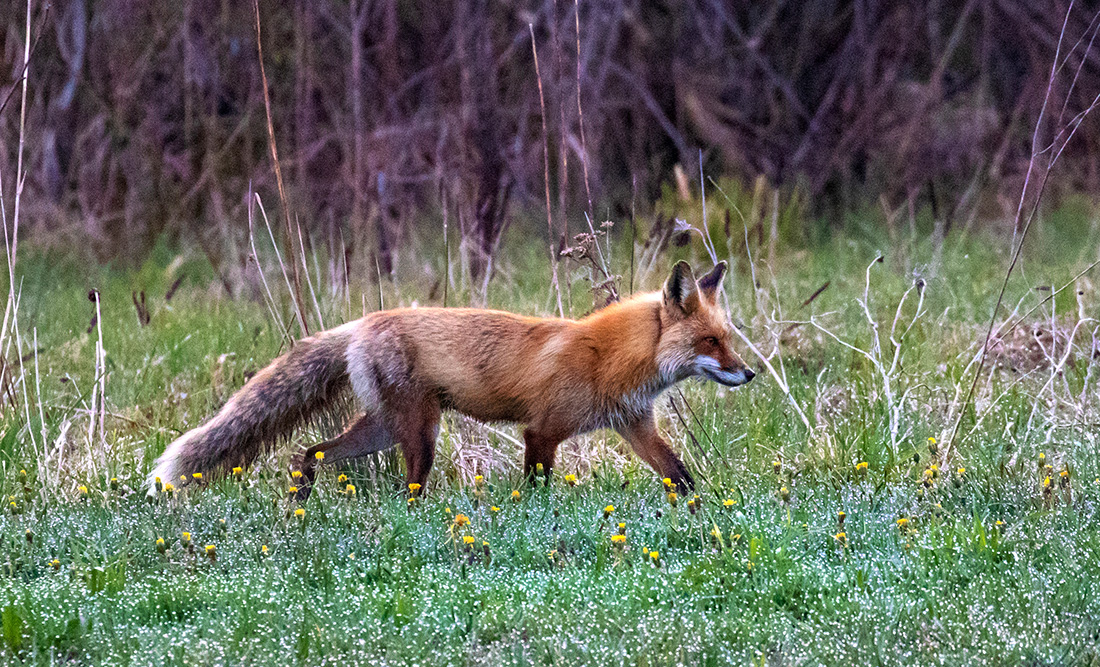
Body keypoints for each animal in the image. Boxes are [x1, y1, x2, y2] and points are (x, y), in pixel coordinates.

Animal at [146, 260, 755, 496]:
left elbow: (681, 476)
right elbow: (536, 489)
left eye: (727, 336)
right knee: (406, 490)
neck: (609, 358)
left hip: (383, 431)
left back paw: (301, 500)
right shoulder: (542, 431)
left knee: (310, 452)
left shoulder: (636, 425)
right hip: (421, 433)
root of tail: (362, 323)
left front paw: (704, 516)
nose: (749, 373)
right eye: (710, 342)